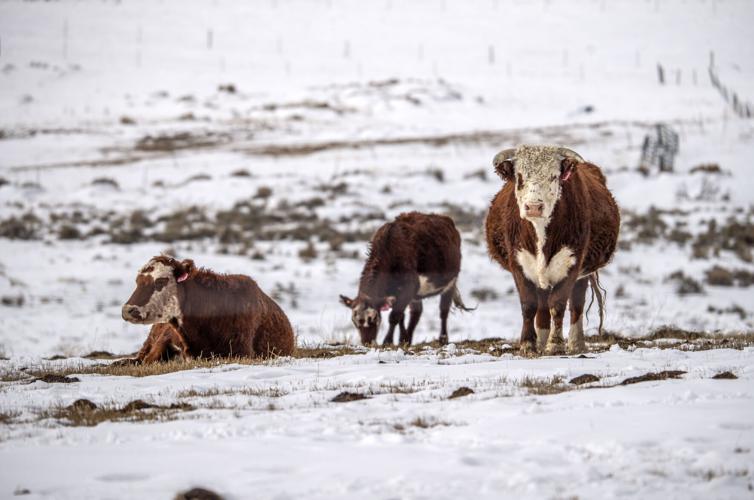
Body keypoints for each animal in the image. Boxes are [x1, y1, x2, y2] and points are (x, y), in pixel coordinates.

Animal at [339, 211, 472, 346]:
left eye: (374, 317)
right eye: (354, 320)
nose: (367, 342)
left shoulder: (408, 287)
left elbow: (394, 317)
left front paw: (388, 341)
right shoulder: (400, 294)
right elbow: (401, 317)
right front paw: (402, 339)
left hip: (450, 283)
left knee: (443, 311)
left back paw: (443, 338)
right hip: (417, 294)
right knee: (416, 313)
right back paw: (408, 338)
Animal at [485, 145, 619, 355]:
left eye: (554, 176)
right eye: (520, 177)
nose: (533, 207)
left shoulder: (572, 264)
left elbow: (558, 304)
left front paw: (555, 345)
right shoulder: (519, 264)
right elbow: (529, 305)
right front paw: (528, 345)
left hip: (581, 273)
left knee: (576, 305)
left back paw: (575, 343)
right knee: (541, 307)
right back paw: (541, 342)